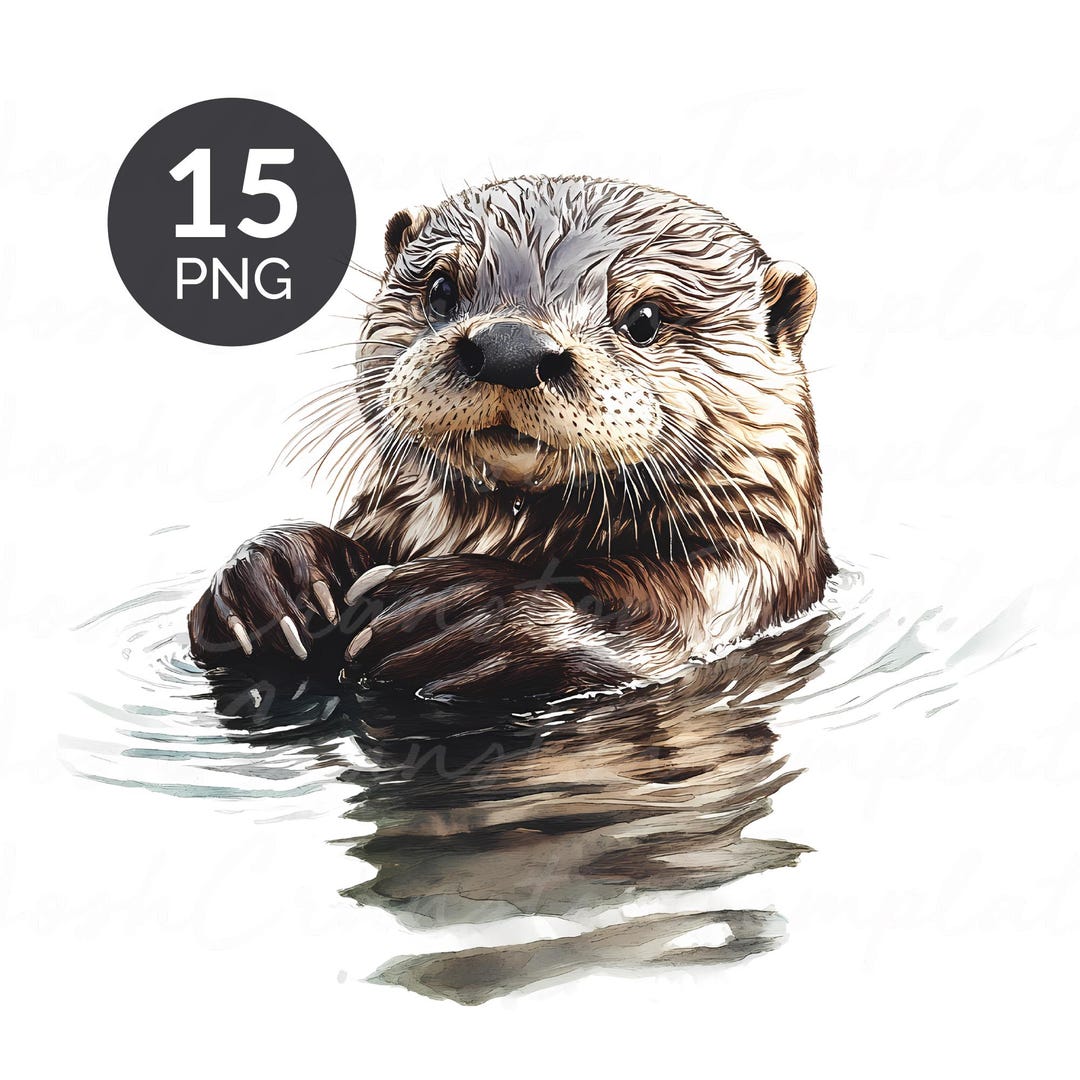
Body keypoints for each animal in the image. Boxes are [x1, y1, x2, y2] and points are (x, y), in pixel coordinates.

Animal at [188, 176, 834, 700]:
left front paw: (465, 617)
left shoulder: (748, 578)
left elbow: (665, 621)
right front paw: (276, 576)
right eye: (441, 290)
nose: (510, 346)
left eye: (645, 319)